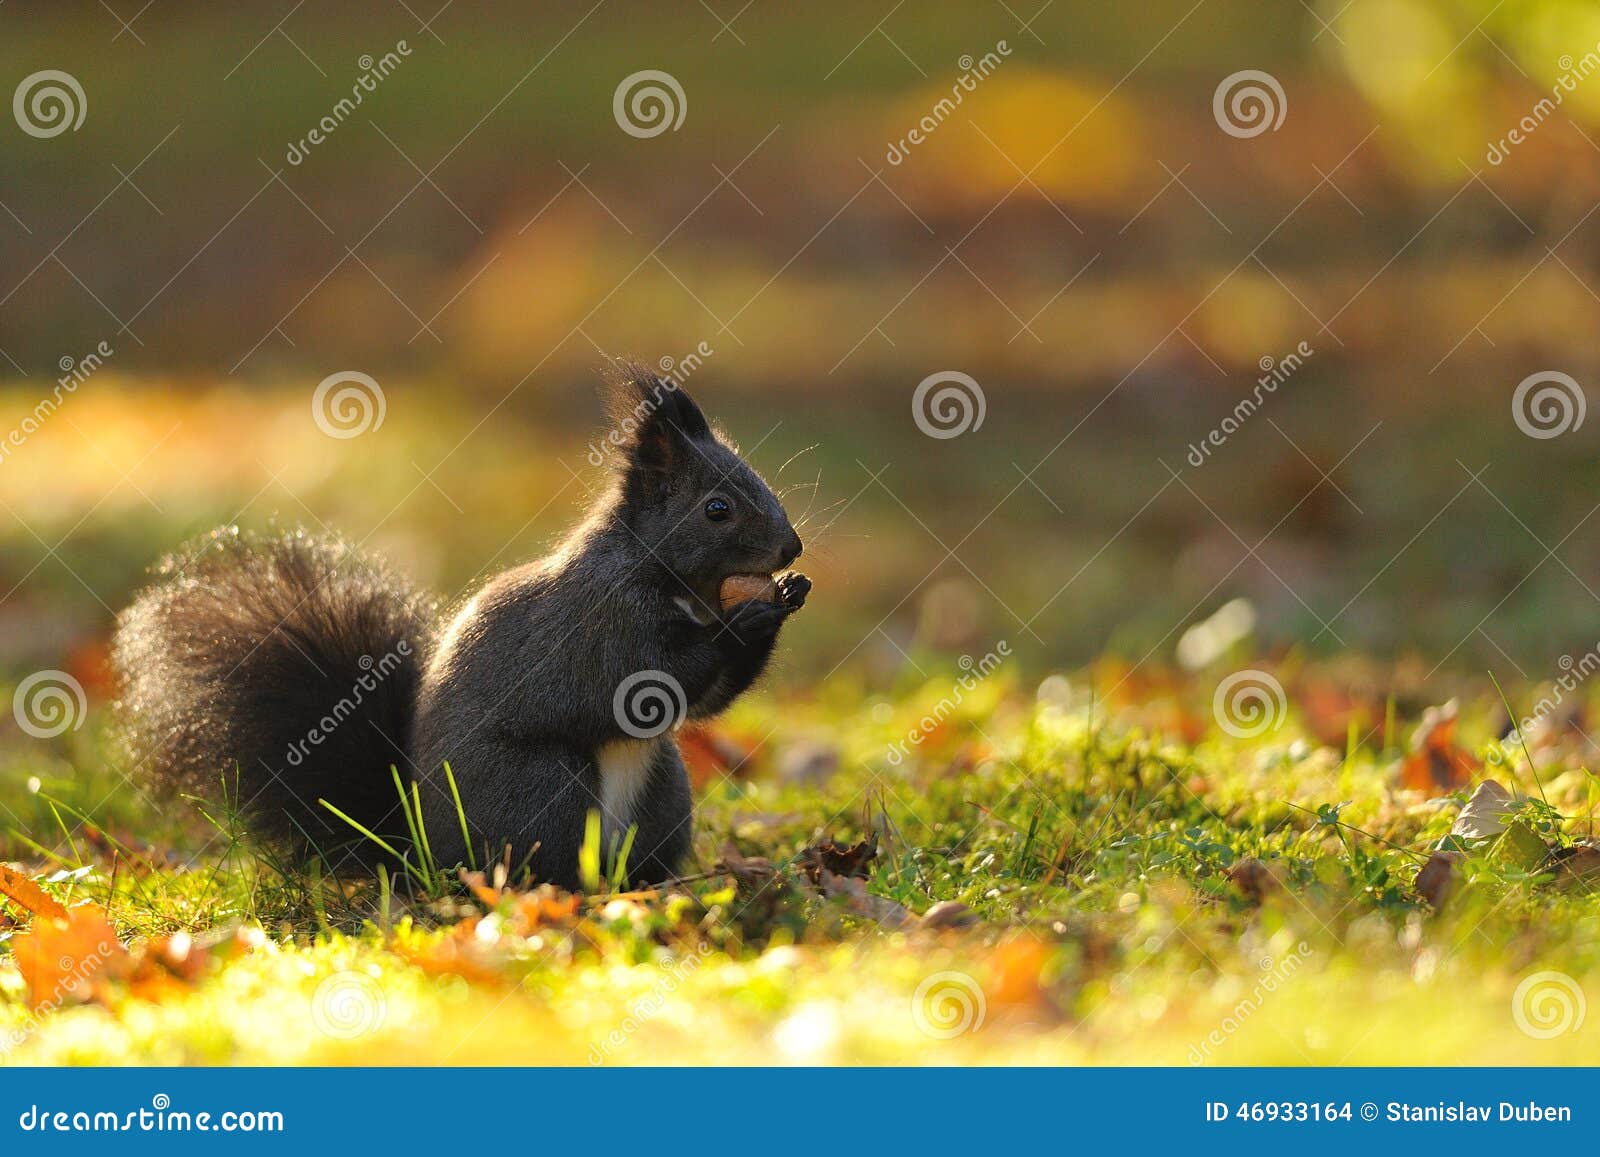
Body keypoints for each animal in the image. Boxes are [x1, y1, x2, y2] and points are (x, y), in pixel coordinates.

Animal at [112, 366, 809, 888]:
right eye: (717, 510)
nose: (792, 549)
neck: (673, 584)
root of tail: (419, 853)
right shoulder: (601, 626)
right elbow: (656, 680)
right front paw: (749, 619)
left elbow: (709, 699)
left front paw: (788, 595)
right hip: (543, 793)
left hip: (665, 793)